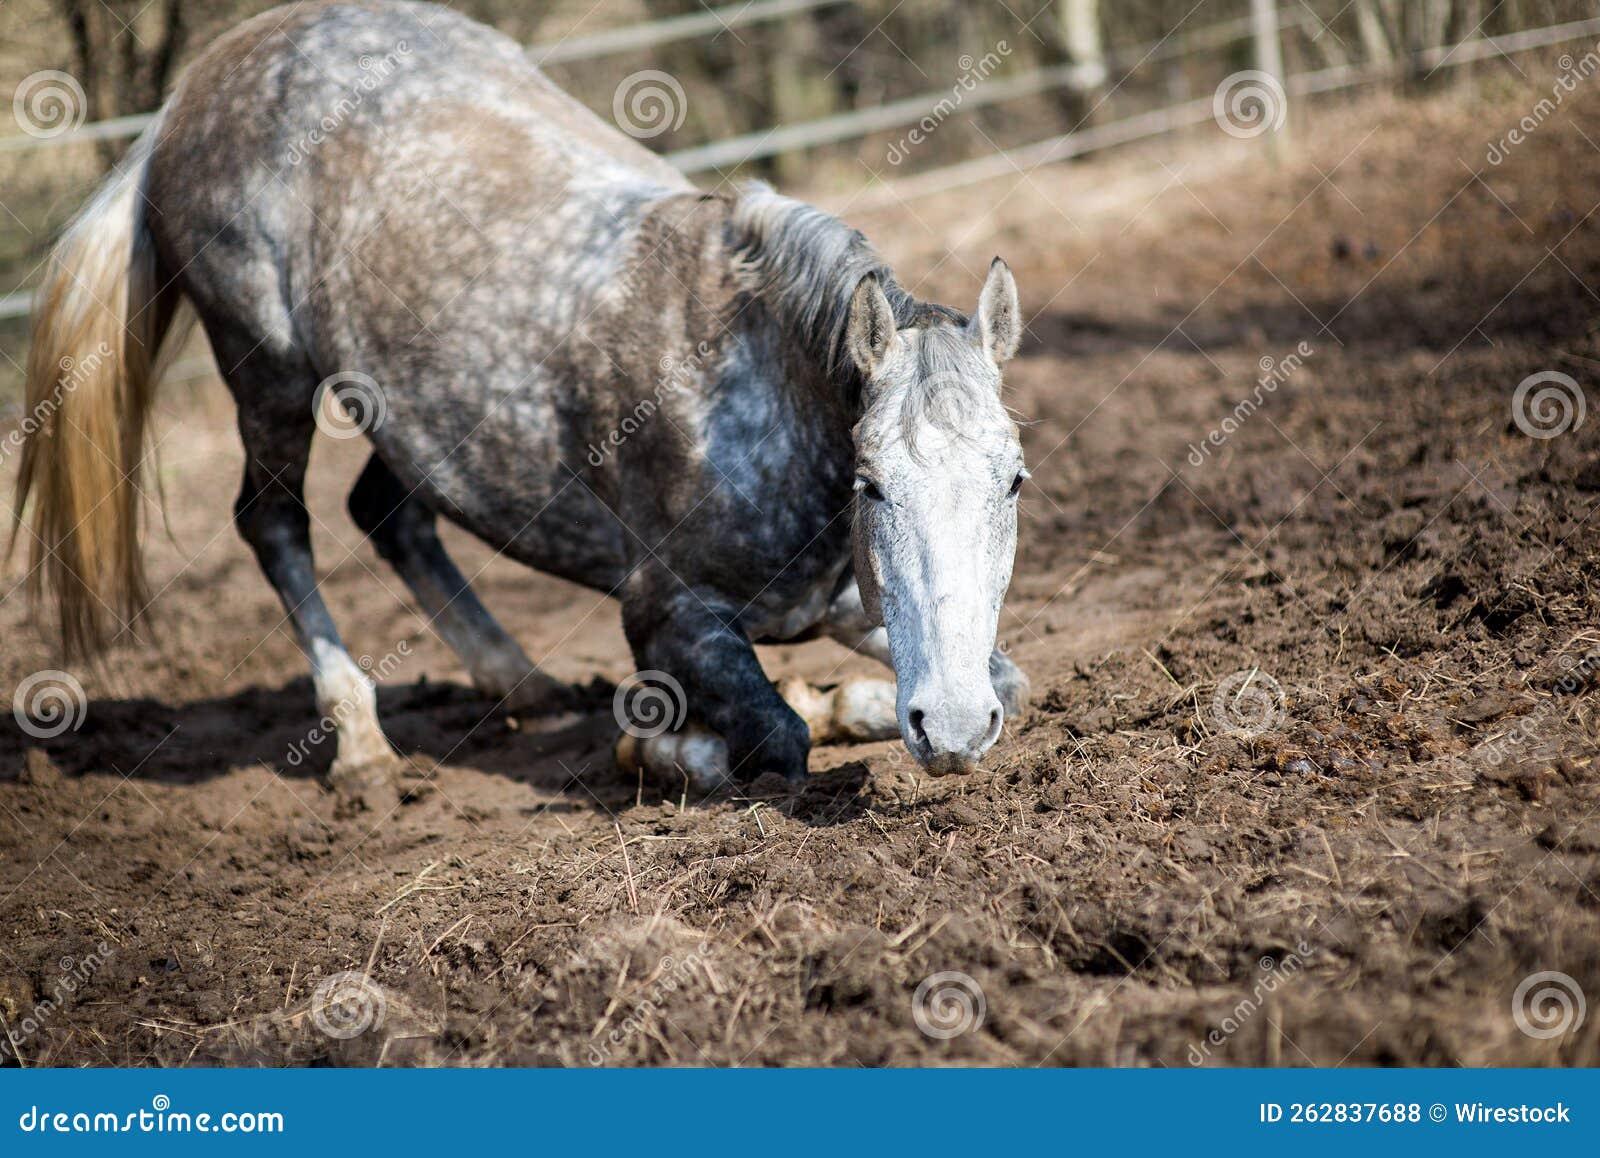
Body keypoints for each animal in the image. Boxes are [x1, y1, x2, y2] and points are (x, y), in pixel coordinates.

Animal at [14, 0, 1031, 801]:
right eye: (870, 483)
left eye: (1015, 481)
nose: (949, 727)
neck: (757, 387)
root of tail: (192, 88)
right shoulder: (665, 615)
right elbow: (771, 738)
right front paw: (660, 748)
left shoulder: (857, 612)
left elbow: (1006, 682)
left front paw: (849, 704)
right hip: (264, 369)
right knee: (274, 523)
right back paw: (364, 748)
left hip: (409, 403)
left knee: (385, 510)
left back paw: (523, 683)